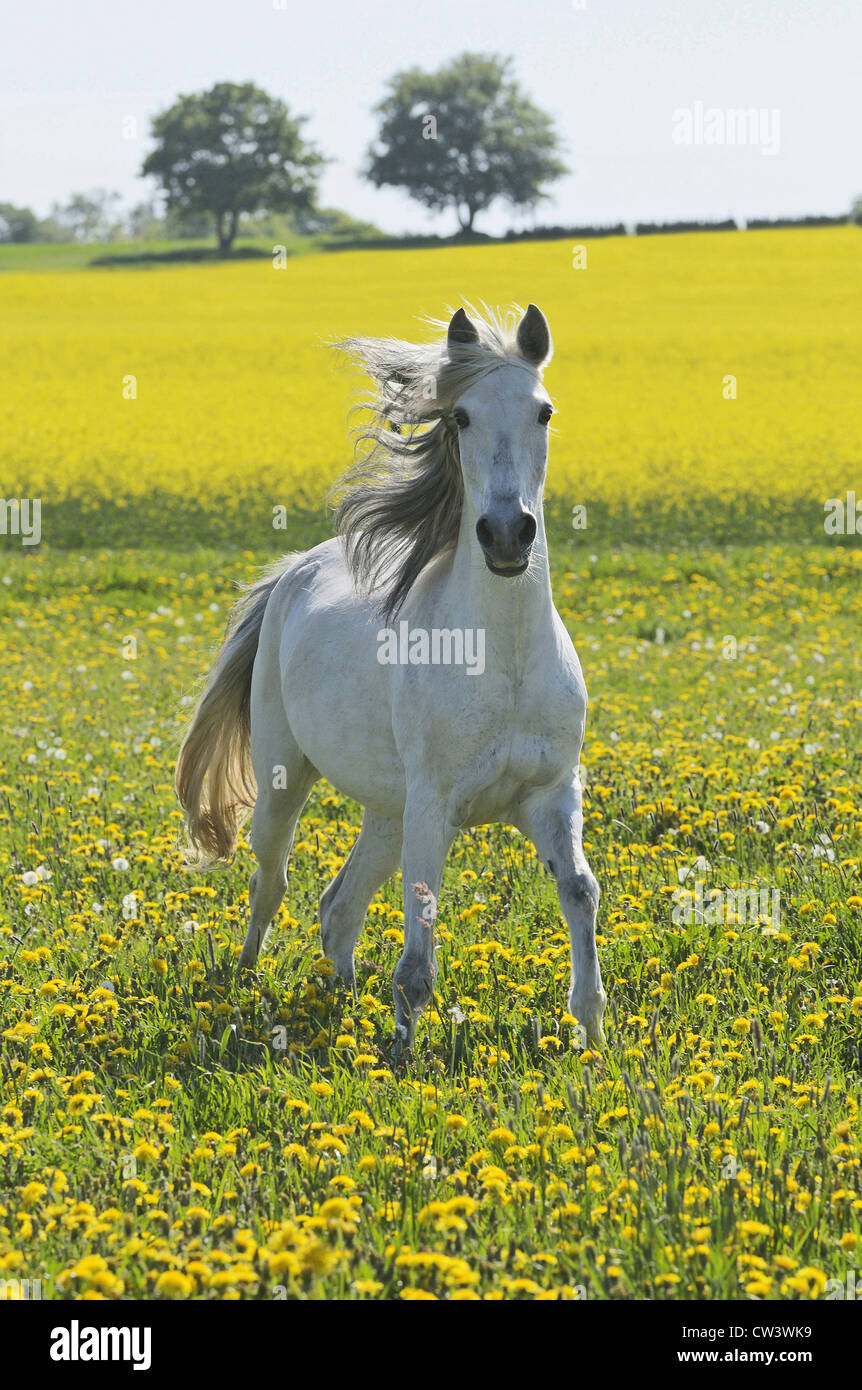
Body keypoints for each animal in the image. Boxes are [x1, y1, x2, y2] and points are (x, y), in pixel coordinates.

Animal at [175, 302, 607, 1052]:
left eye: (545, 411)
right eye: (461, 416)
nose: (507, 535)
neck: (503, 661)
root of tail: (292, 572)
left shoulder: (549, 794)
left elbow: (580, 890)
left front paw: (591, 1030)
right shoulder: (436, 806)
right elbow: (416, 953)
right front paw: (404, 1051)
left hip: (386, 810)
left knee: (338, 905)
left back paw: (342, 1002)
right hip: (287, 784)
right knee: (271, 881)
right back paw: (248, 979)